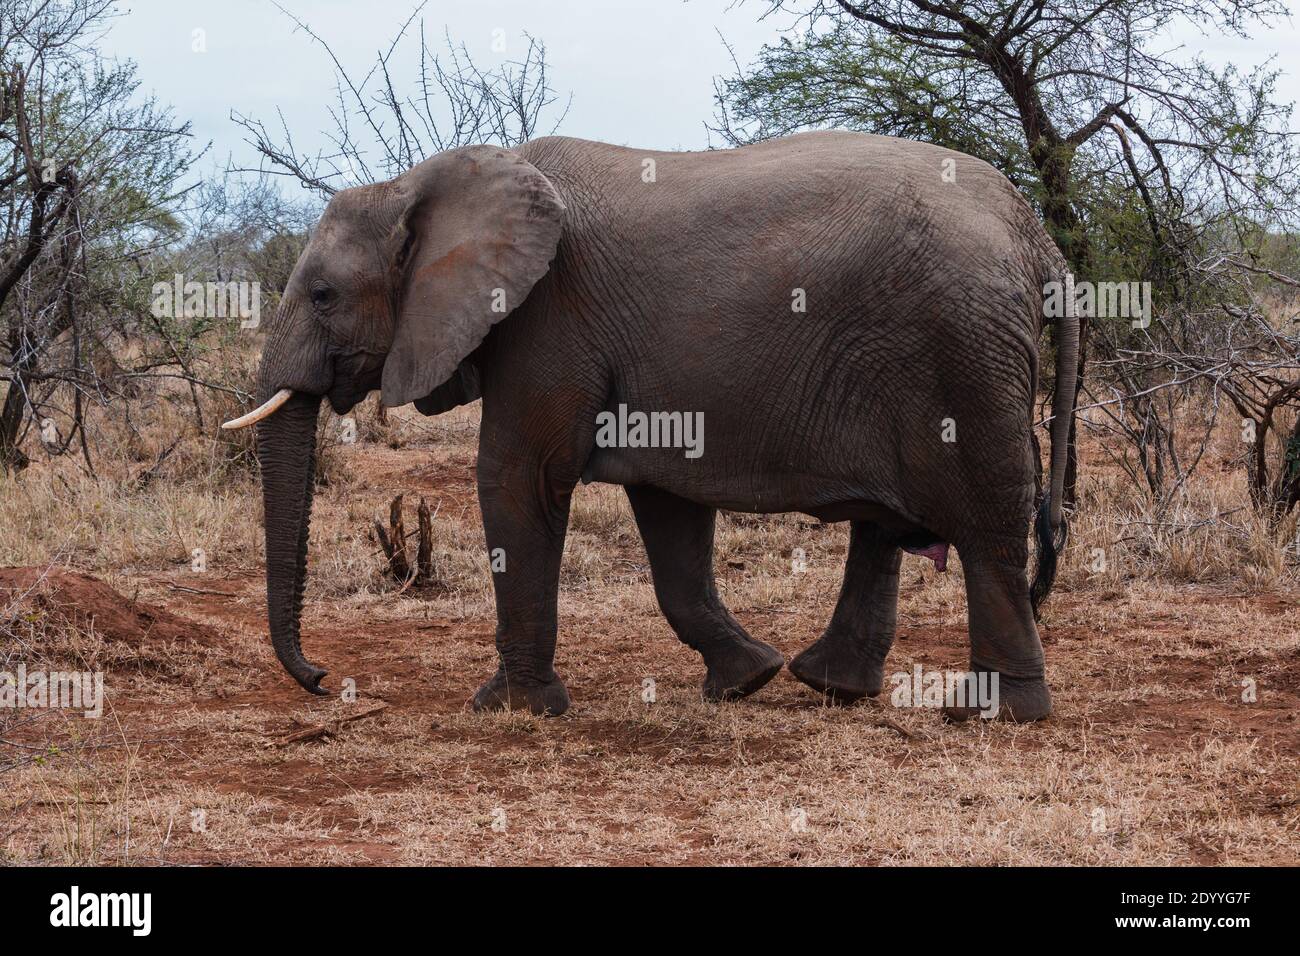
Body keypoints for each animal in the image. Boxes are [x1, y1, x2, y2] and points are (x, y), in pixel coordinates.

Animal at [223, 130, 1077, 723]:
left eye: (324, 295)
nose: (323, 679)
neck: (417, 186)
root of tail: (1039, 240)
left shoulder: (547, 320)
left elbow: (518, 477)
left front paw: (507, 708)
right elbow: (668, 512)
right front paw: (743, 681)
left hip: (963, 351)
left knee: (988, 527)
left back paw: (992, 712)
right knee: (886, 524)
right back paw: (828, 684)